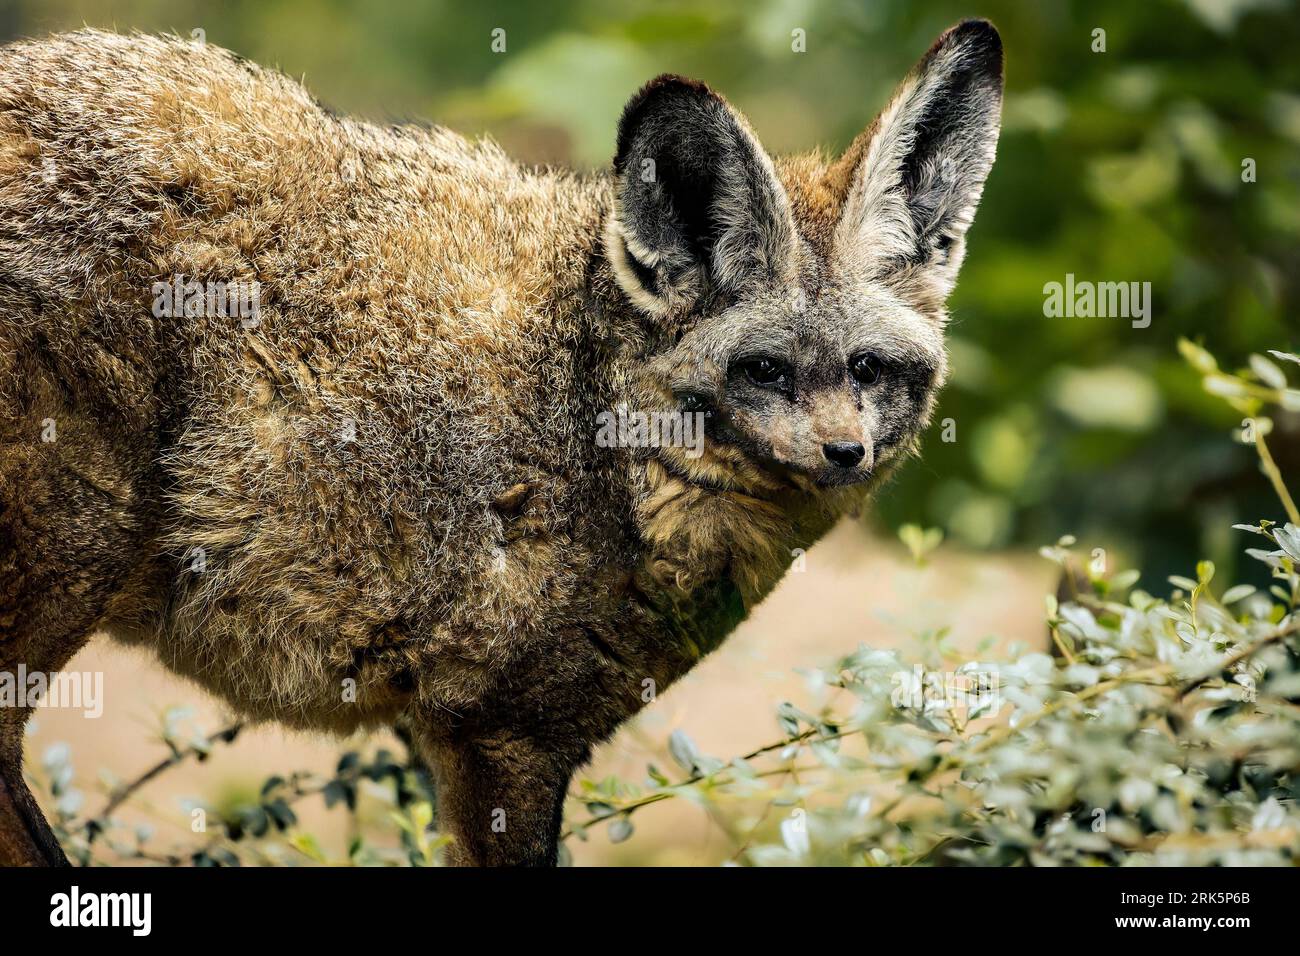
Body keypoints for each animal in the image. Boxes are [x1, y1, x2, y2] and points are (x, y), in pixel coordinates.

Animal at [0, 19, 1002, 866]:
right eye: (765, 371)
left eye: (868, 369)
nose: (845, 455)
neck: (595, 434)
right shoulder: (503, 735)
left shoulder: (450, 733)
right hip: (66, 572)